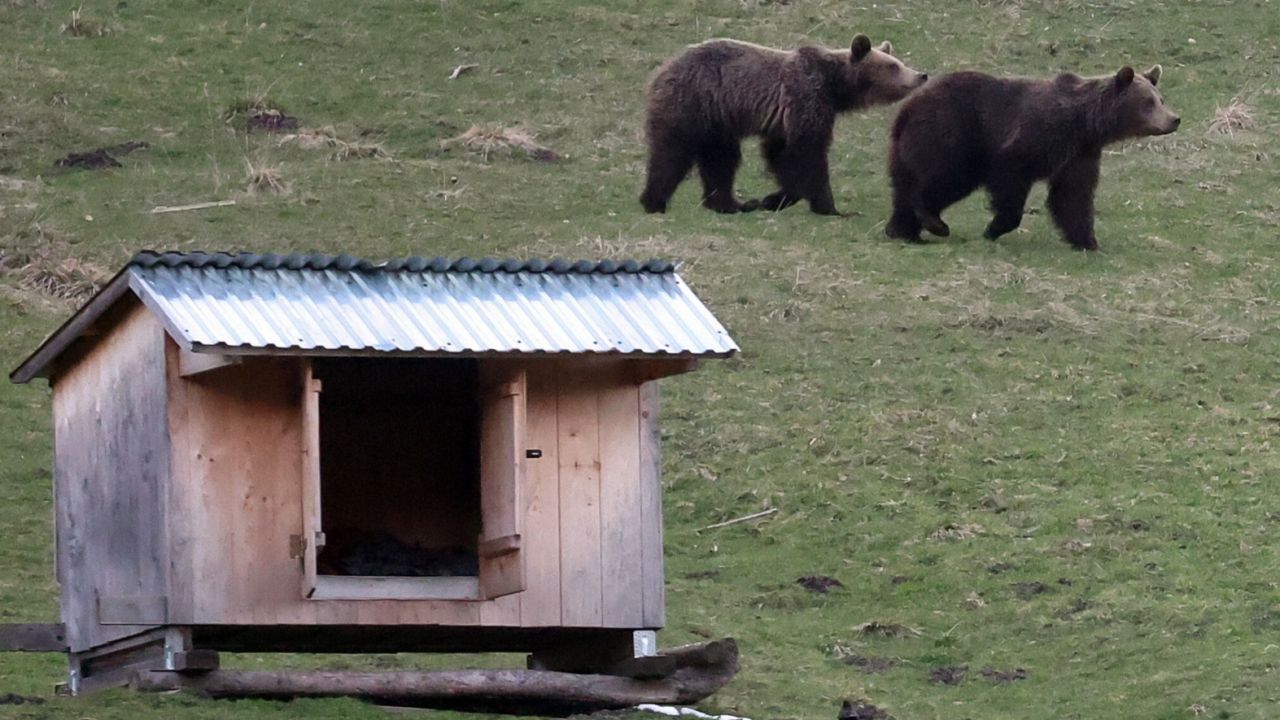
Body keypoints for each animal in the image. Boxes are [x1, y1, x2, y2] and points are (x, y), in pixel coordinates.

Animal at [639, 35, 928, 216]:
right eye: (893, 65)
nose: (921, 75)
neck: (834, 87)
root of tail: (661, 70)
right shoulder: (806, 98)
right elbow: (808, 153)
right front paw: (831, 207)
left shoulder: (783, 121)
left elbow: (781, 155)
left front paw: (774, 198)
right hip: (692, 102)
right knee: (672, 152)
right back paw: (654, 201)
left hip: (718, 124)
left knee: (721, 161)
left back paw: (731, 204)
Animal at [884, 65, 1180, 250]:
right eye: (1148, 102)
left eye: (1161, 99)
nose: (1174, 119)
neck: (1084, 124)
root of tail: (908, 108)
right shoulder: (1029, 140)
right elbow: (1011, 182)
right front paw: (994, 228)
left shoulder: (1080, 154)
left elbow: (1073, 196)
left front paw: (1088, 241)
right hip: (950, 133)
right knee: (943, 179)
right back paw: (934, 222)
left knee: (905, 186)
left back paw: (902, 230)